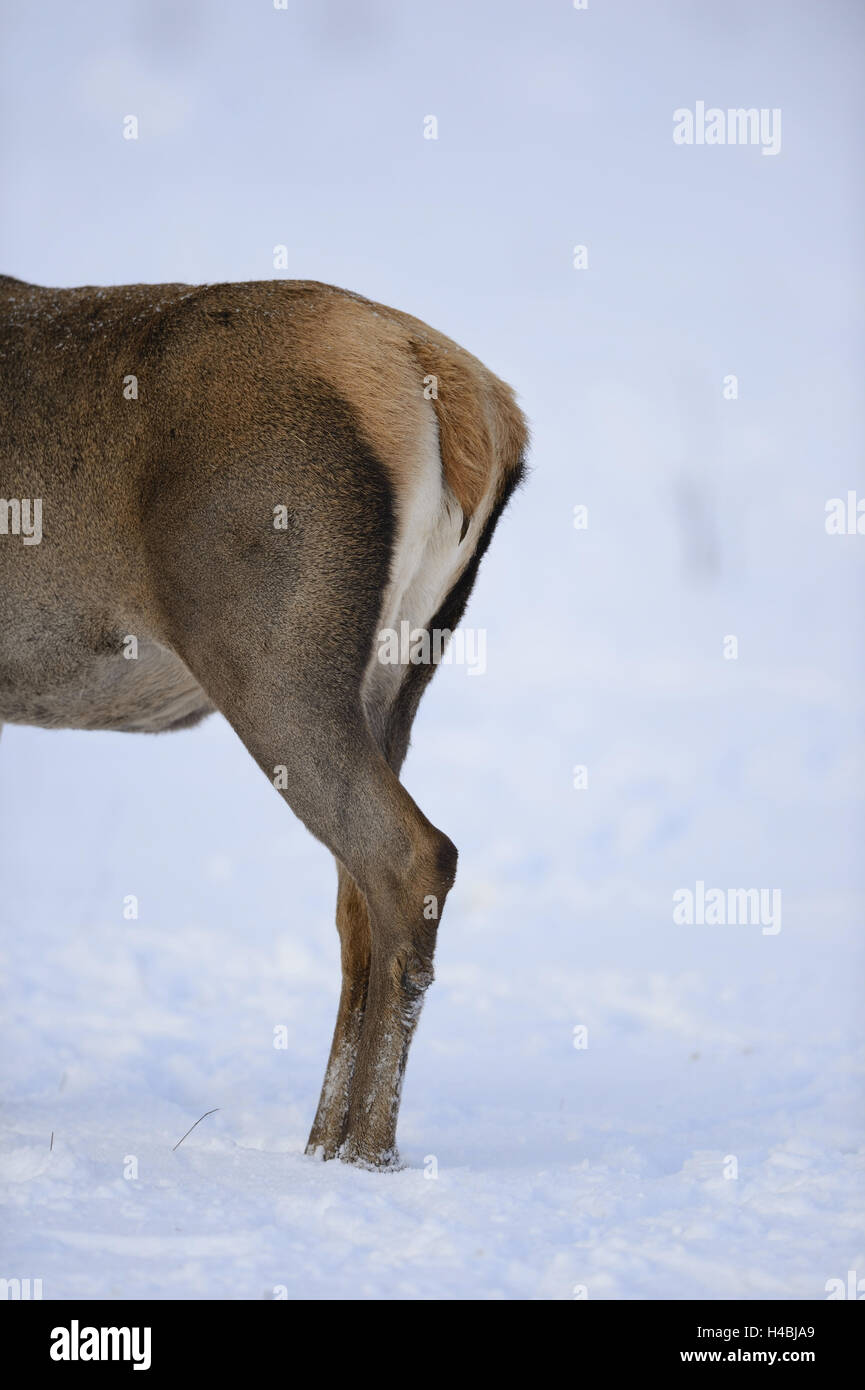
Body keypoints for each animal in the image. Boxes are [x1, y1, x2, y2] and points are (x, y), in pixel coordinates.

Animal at [0, 274, 527, 1169]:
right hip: (395, 673)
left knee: (408, 856)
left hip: (270, 651)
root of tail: (474, 401)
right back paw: (322, 1149)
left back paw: (364, 1156)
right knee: (356, 900)